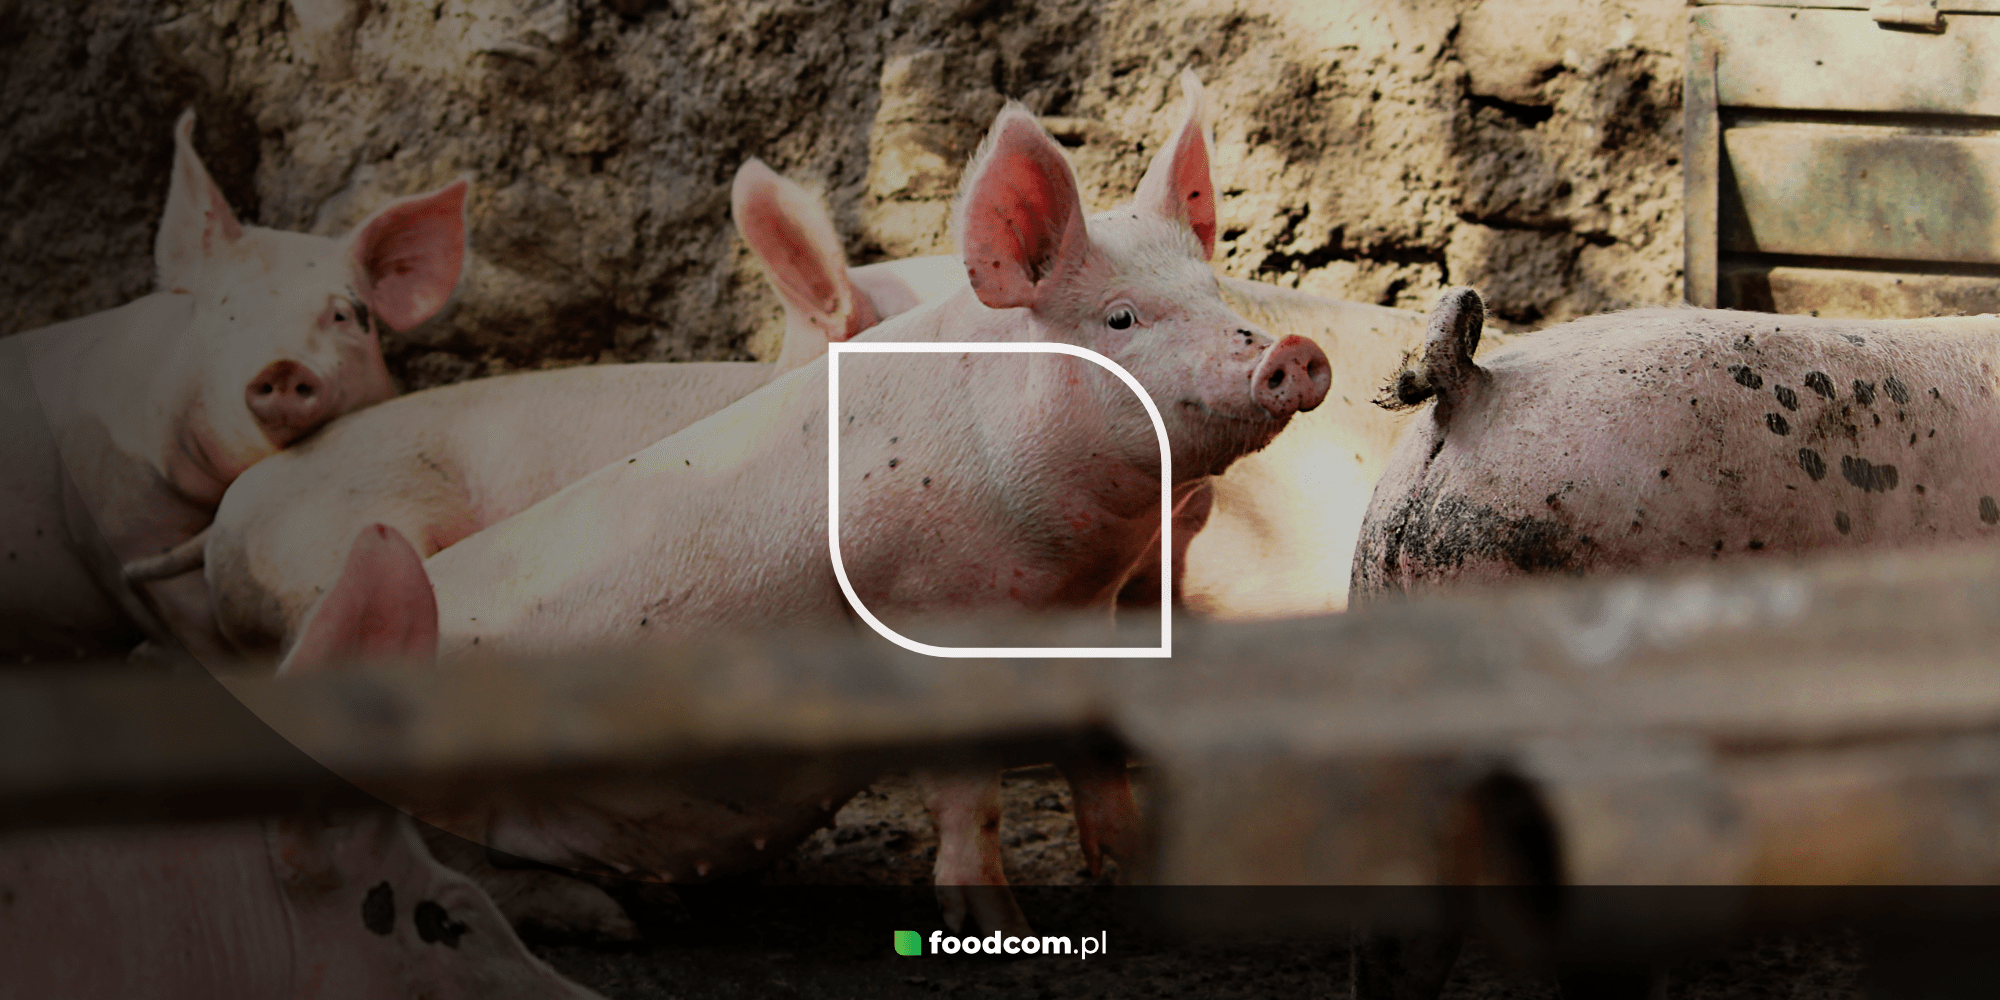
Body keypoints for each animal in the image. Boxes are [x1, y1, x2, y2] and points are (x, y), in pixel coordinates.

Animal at [288, 82, 1327, 932]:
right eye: (1120, 317)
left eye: (1214, 291)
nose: (1294, 350)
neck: (1058, 572)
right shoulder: (927, 615)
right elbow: (967, 792)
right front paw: (997, 929)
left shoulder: (1087, 614)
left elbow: (1098, 752)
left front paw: (1141, 876)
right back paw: (610, 919)